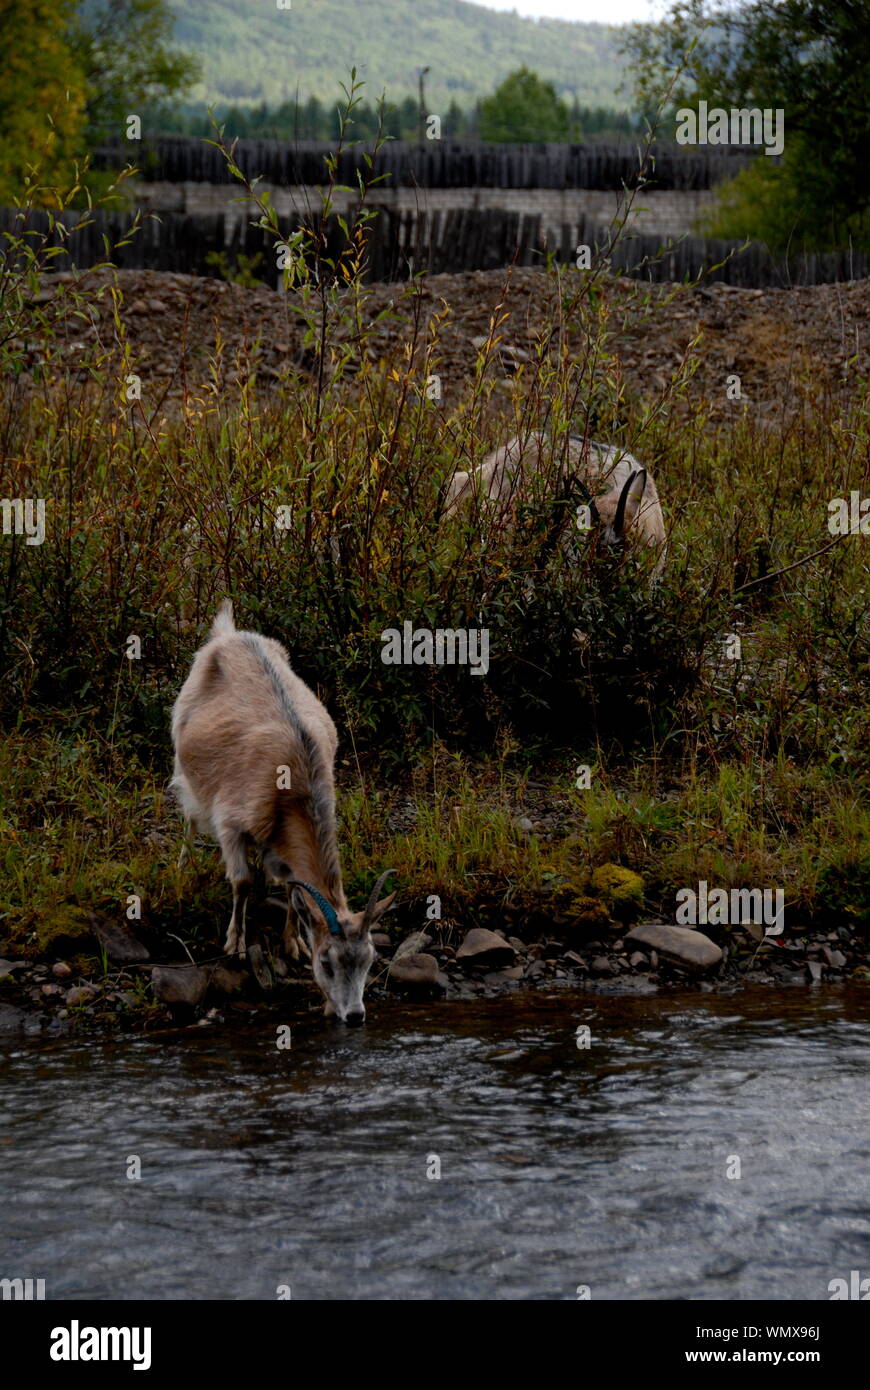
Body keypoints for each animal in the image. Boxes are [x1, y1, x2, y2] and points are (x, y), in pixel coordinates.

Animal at [171, 601, 395, 1024]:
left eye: (370, 960)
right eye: (327, 963)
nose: (354, 1015)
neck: (294, 780)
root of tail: (230, 634)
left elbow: (293, 888)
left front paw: (292, 945)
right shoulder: (231, 823)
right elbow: (242, 881)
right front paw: (235, 944)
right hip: (182, 747)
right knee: (189, 810)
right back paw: (183, 862)